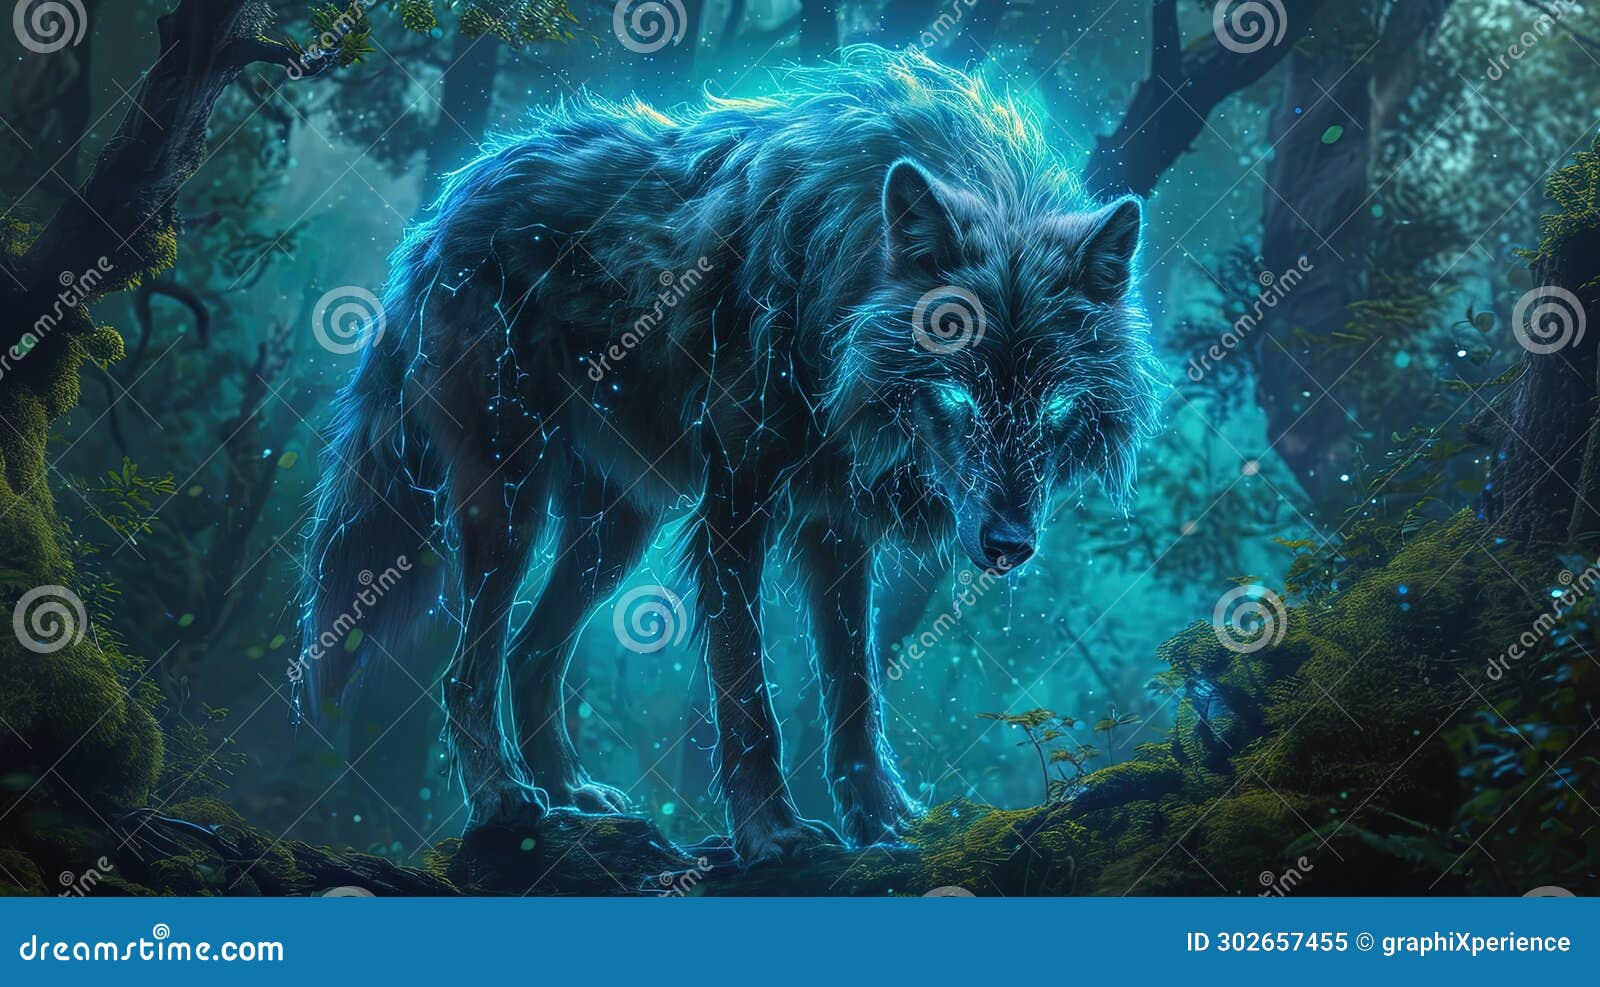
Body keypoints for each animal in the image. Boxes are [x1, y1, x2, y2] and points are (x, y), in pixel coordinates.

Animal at [300, 45, 1161, 863]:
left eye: (1053, 409)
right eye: (957, 396)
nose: (1008, 544)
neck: (840, 279)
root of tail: (449, 200)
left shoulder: (836, 526)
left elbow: (854, 694)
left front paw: (884, 824)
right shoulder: (736, 505)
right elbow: (747, 690)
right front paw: (771, 834)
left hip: (618, 529)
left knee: (529, 652)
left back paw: (574, 795)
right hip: (509, 503)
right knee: (468, 668)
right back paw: (504, 799)